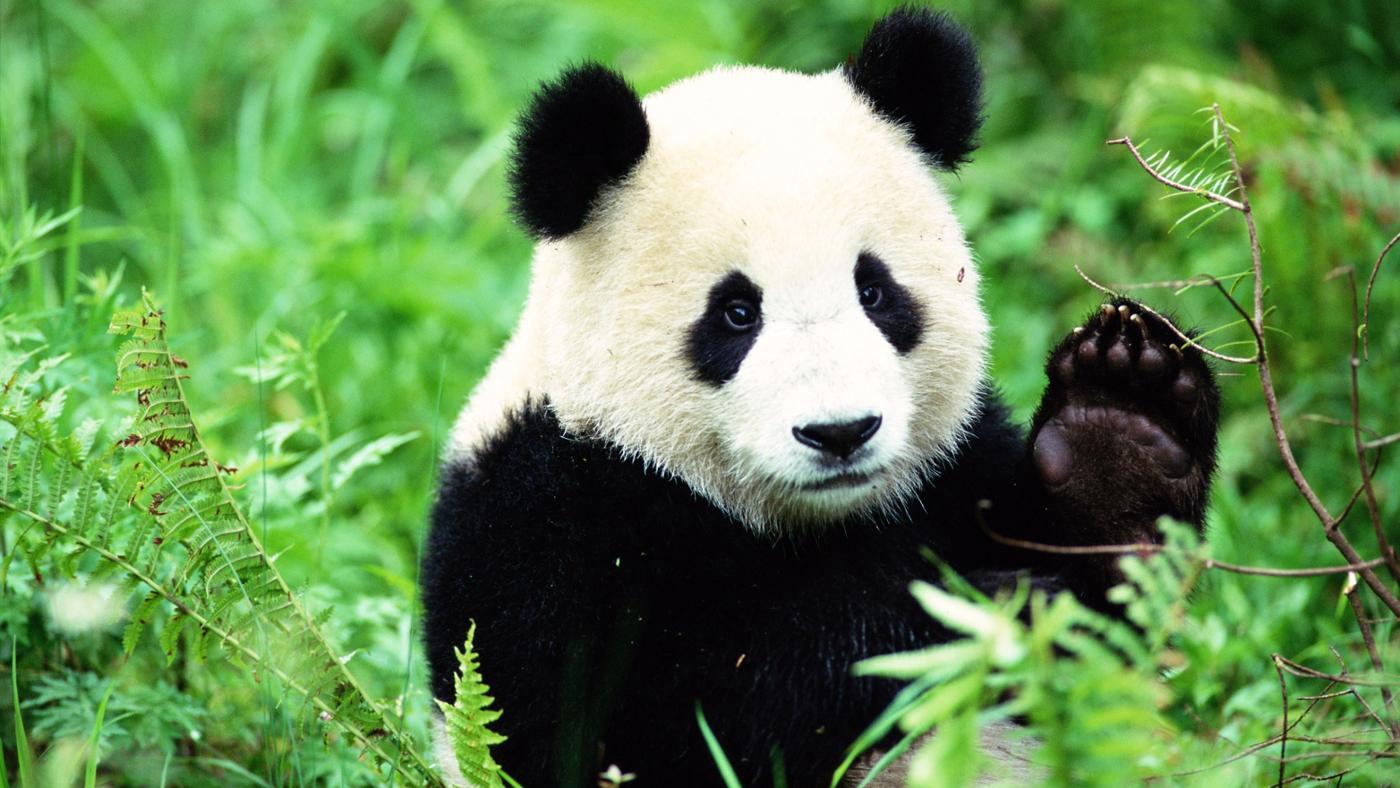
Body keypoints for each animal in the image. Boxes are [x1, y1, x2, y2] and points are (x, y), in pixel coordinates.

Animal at [422, 7, 1219, 786]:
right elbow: (638, 725)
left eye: (875, 292)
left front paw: (1119, 430)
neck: (807, 521)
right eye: (736, 313)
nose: (841, 432)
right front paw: (975, 617)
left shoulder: (958, 467)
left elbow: (1112, 634)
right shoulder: (541, 519)